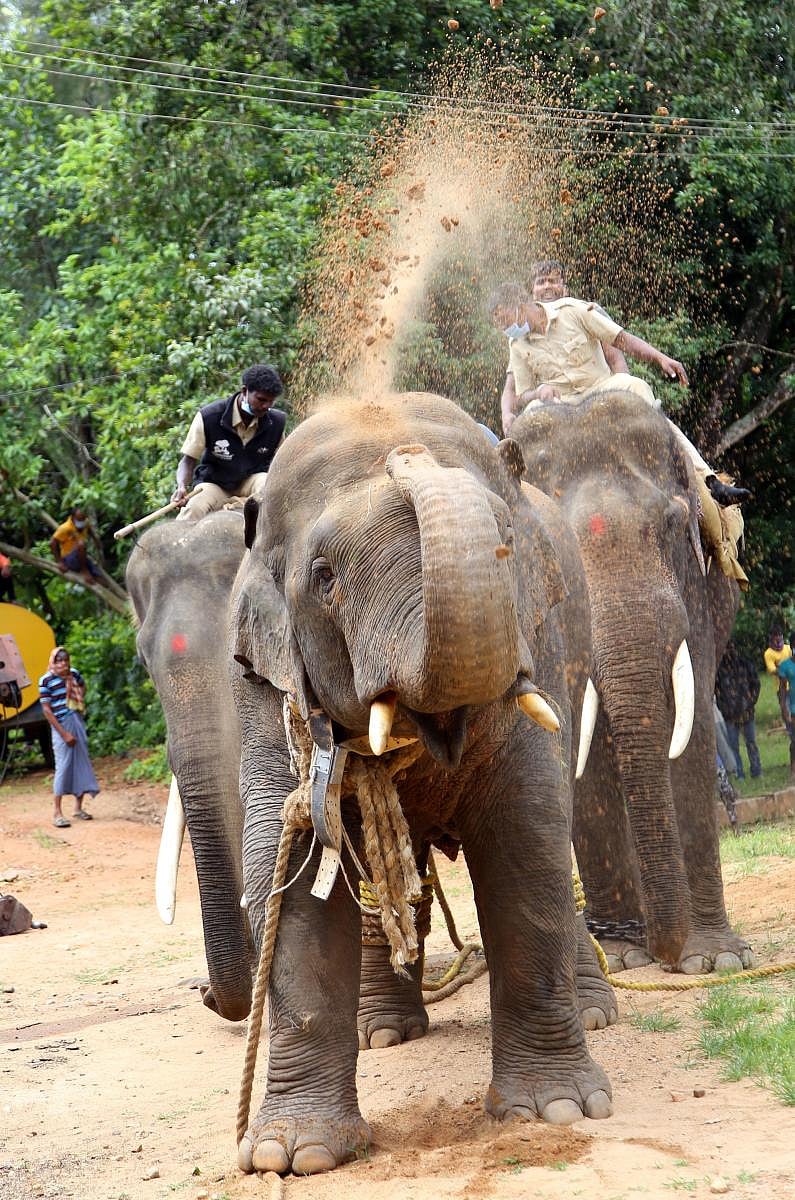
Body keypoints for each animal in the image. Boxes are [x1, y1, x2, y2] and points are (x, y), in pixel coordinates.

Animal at [230, 391, 614, 1177]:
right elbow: (288, 865)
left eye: (507, 541)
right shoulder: (263, 681)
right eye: (324, 576)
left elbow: (525, 834)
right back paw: (383, 1033)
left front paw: (556, 1112)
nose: (406, 460)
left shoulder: (538, 640)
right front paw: (292, 1158)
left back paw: (594, 1013)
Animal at [512, 390, 752, 975]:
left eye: (670, 525)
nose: (665, 954)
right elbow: (577, 739)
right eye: (553, 547)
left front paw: (714, 960)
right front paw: (621, 958)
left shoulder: (695, 585)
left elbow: (691, 729)